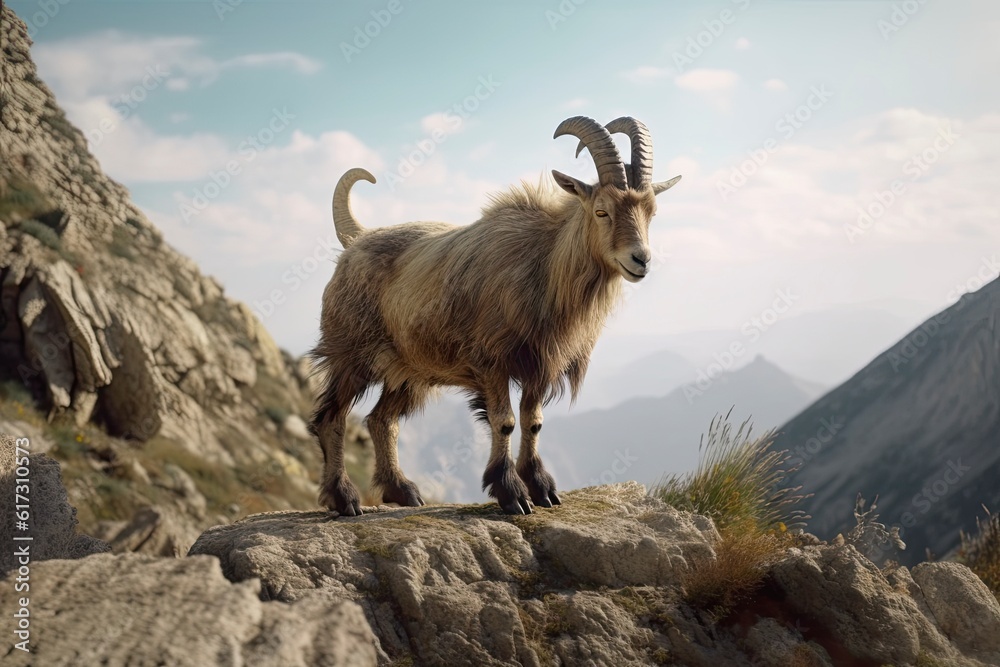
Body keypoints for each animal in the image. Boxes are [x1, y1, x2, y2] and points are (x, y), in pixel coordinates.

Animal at [311, 116, 681, 515]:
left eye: (651, 212)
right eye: (601, 210)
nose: (640, 260)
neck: (543, 265)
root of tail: (355, 241)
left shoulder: (539, 366)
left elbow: (533, 422)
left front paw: (542, 489)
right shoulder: (492, 362)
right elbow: (504, 422)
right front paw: (511, 492)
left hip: (409, 371)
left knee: (381, 420)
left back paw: (403, 491)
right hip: (351, 354)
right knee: (332, 418)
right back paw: (344, 498)